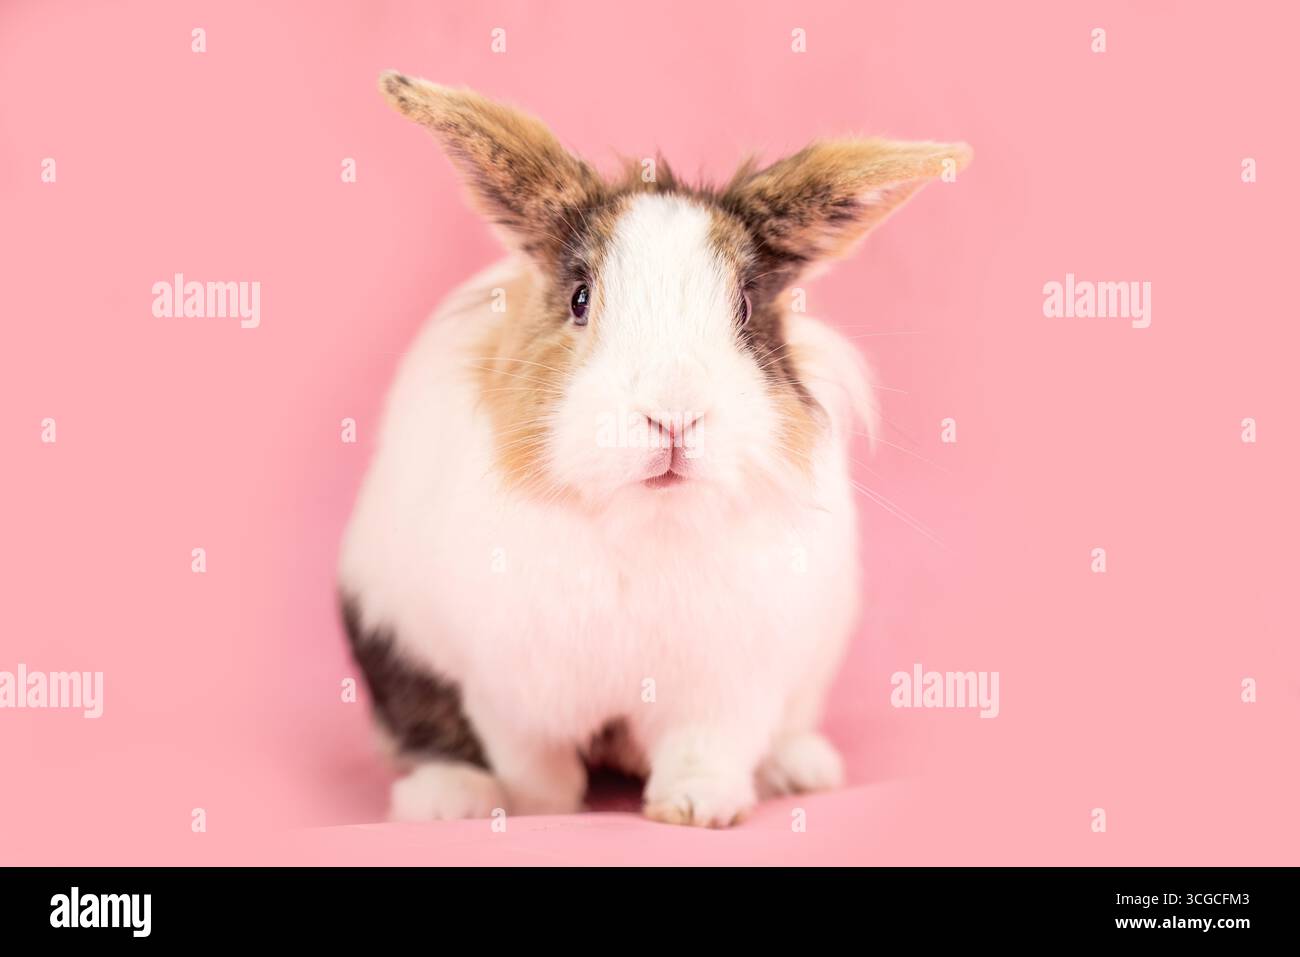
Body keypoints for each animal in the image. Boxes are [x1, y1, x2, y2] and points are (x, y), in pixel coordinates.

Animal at [338, 70, 971, 827]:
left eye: (745, 308)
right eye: (580, 299)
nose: (673, 416)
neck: (647, 521)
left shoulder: (728, 688)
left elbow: (704, 751)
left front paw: (697, 808)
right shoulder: (510, 695)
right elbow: (535, 767)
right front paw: (541, 812)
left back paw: (802, 767)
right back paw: (446, 798)